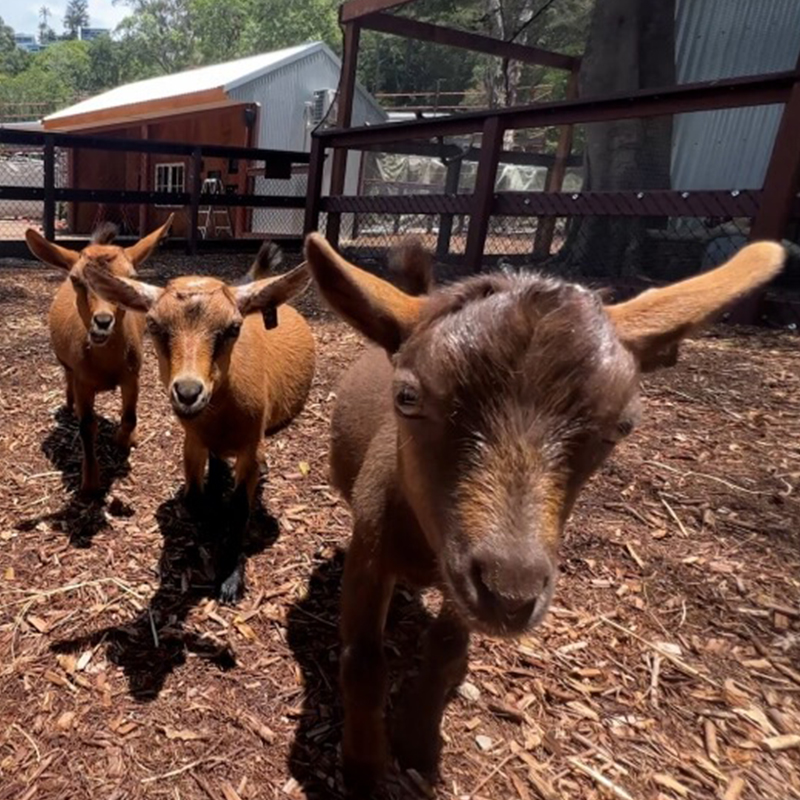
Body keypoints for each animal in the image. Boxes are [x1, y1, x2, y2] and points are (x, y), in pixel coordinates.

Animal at [25, 217, 173, 497]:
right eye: (76, 280)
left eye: (131, 278)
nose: (103, 322)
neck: (107, 366)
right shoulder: (83, 381)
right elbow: (86, 427)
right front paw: (90, 484)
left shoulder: (132, 375)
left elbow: (129, 416)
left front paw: (124, 441)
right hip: (66, 365)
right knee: (67, 378)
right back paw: (69, 407)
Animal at [84, 242, 315, 603]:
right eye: (153, 325)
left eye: (233, 328)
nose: (189, 392)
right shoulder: (193, 441)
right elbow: (195, 499)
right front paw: (209, 539)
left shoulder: (251, 444)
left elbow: (240, 507)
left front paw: (231, 579)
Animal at [303, 233, 786, 790]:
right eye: (407, 397)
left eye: (622, 426)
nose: (511, 593)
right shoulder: (372, 550)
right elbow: (363, 660)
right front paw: (364, 768)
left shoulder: (462, 578)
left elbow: (447, 647)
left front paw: (419, 744)